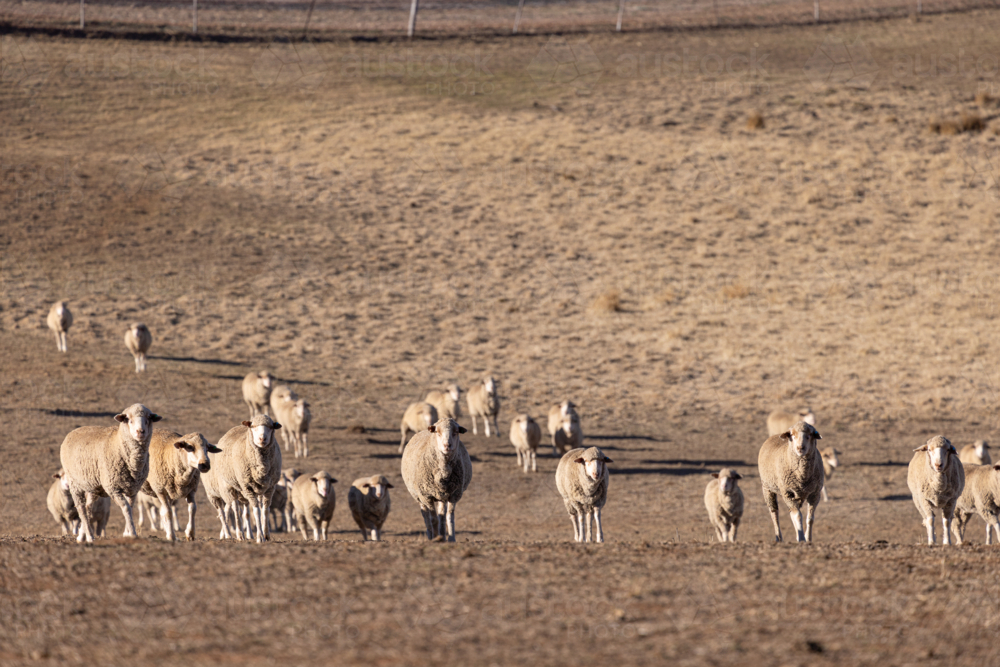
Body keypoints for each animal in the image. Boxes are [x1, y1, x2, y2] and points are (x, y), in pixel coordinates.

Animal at [59, 403, 162, 542]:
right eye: (129, 420)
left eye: (148, 420)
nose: (140, 431)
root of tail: (73, 431)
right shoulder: (113, 488)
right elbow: (126, 508)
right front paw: (132, 533)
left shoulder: (133, 489)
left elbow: (130, 508)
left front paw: (127, 533)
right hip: (74, 482)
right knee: (81, 509)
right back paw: (90, 537)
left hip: (93, 486)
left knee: (88, 507)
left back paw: (82, 536)